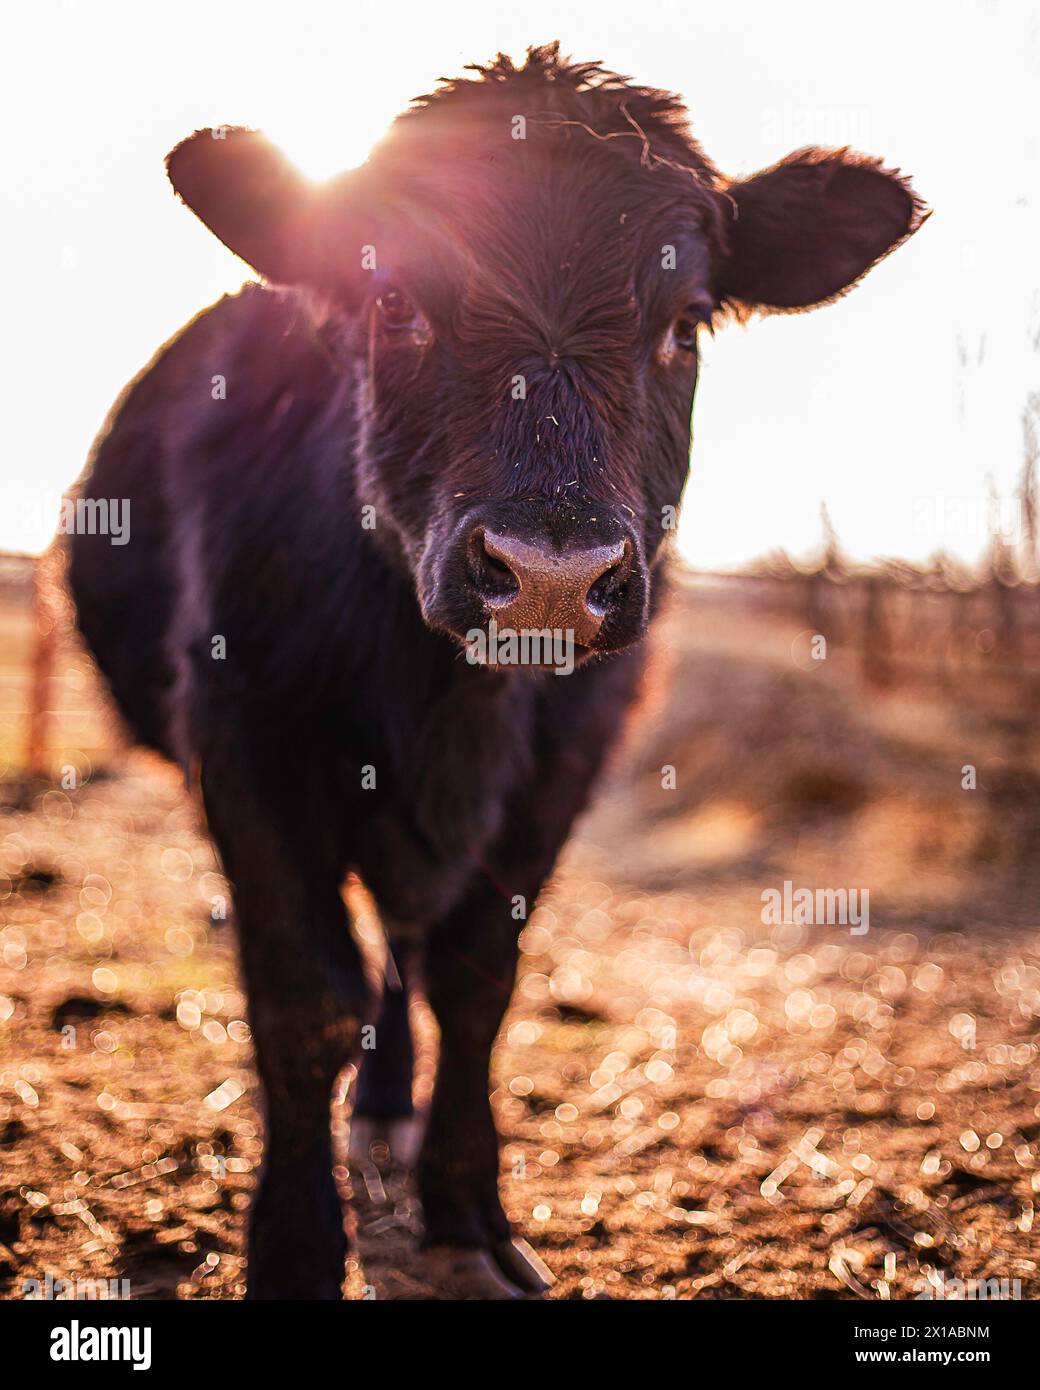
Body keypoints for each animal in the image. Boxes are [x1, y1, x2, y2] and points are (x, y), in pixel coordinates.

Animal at [67, 43, 925, 1299]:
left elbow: (475, 977)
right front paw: (294, 1242)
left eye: (684, 323)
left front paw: (466, 1208)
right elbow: (301, 995)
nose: (552, 573)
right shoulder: (240, 731)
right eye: (392, 298)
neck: (447, 701)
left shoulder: (562, 757)